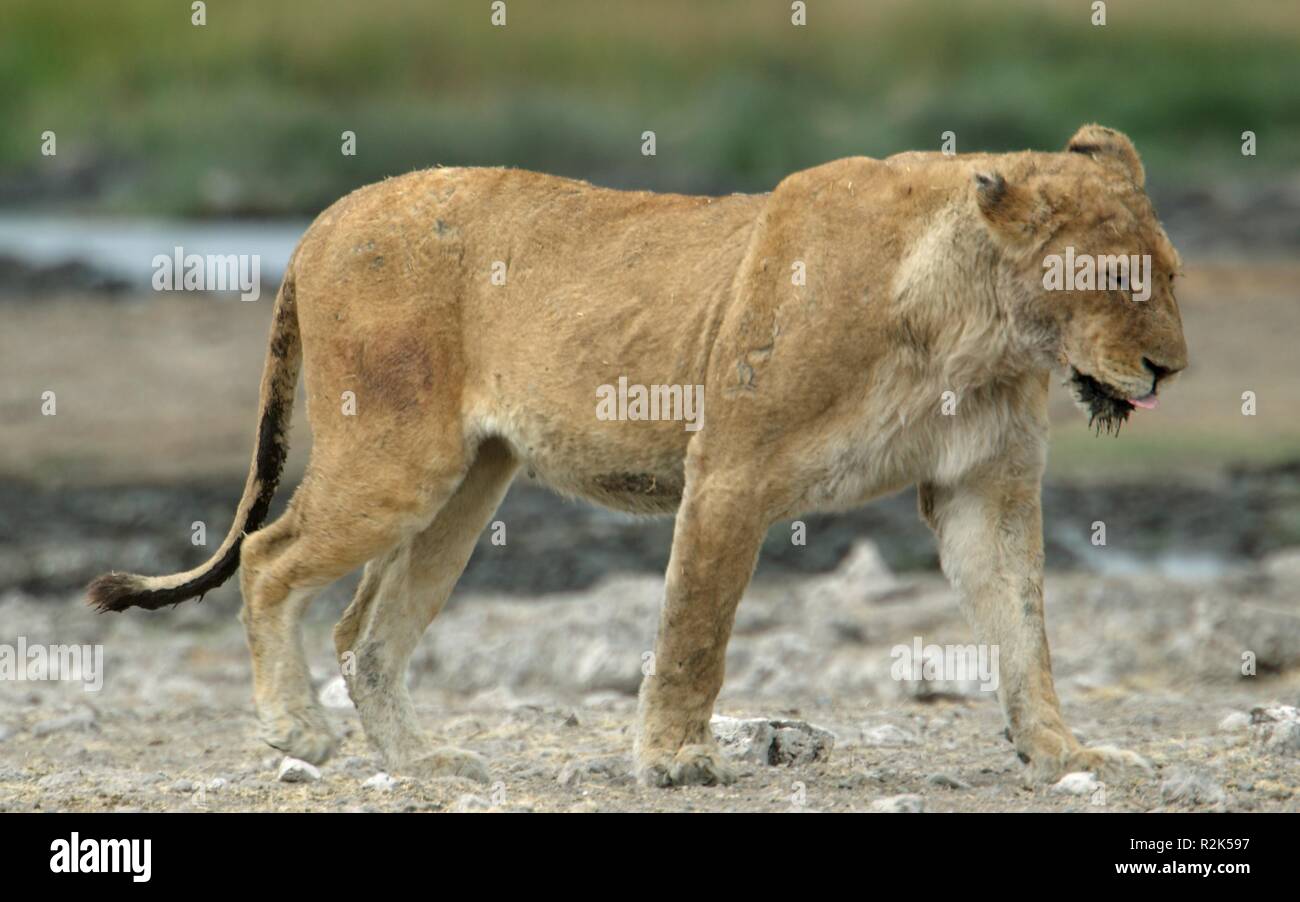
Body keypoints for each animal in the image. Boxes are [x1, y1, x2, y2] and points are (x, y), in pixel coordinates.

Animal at [88, 124, 1187, 787]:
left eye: (1169, 274)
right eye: (1113, 278)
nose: (1170, 368)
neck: (975, 329)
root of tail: (324, 217)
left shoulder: (982, 488)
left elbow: (1023, 627)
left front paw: (1062, 751)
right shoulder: (732, 472)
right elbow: (695, 630)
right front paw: (673, 760)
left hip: (468, 483)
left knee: (368, 629)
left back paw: (427, 764)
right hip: (395, 457)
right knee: (268, 557)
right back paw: (300, 733)